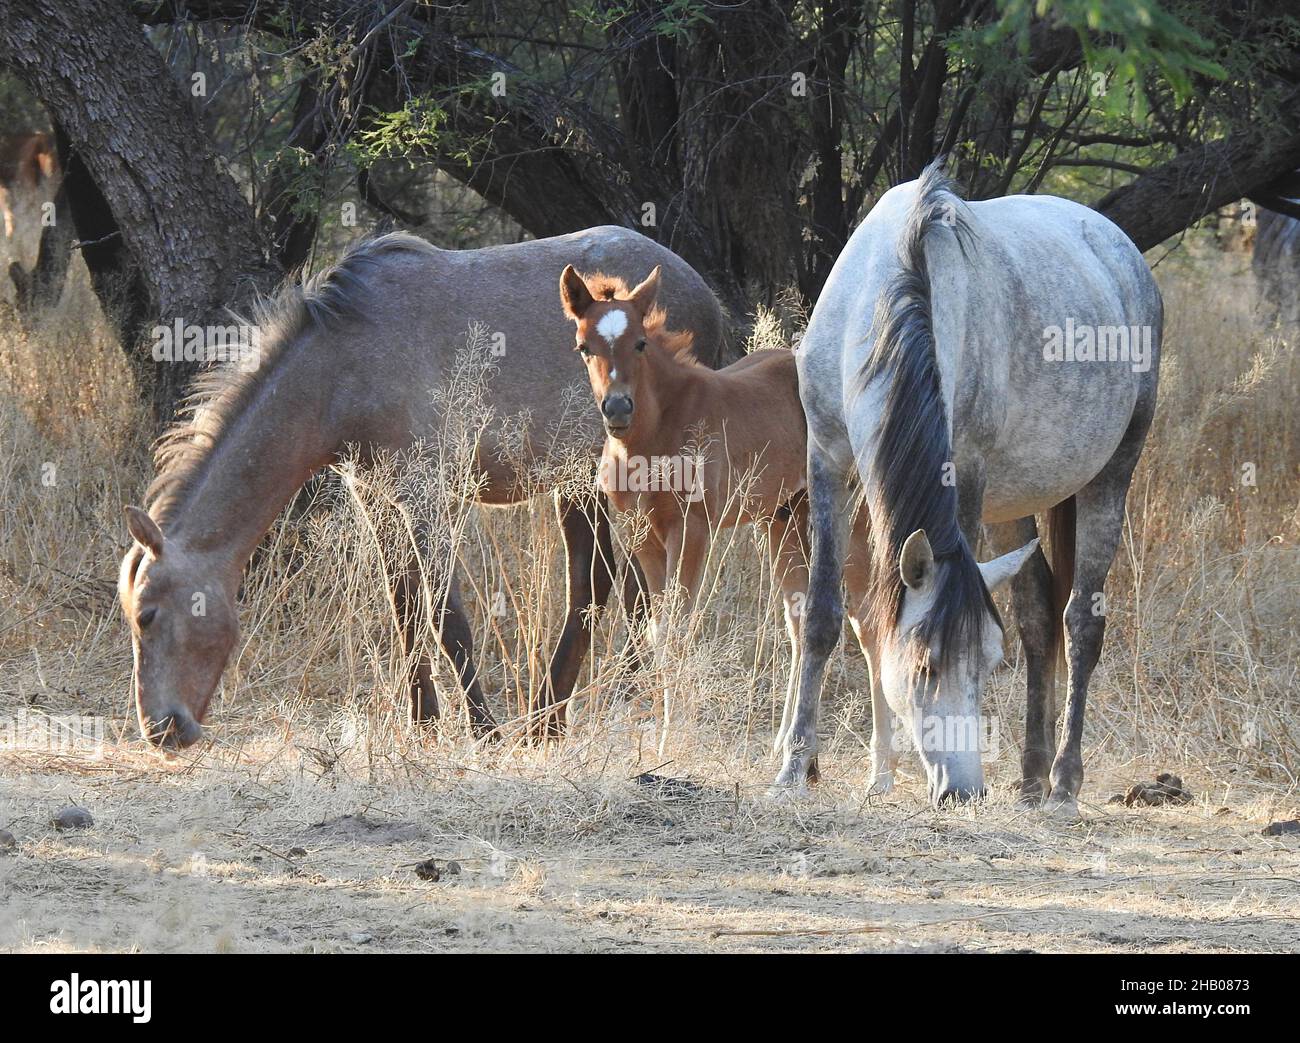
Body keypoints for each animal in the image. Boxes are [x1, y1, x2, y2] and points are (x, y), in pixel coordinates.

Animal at [118, 228, 723, 748]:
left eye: (147, 615)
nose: (160, 730)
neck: (344, 366)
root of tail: (703, 292)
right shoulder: (378, 500)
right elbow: (405, 611)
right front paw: (424, 725)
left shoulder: (427, 499)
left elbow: (446, 619)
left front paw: (482, 730)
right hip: (582, 485)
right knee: (615, 586)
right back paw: (586, 710)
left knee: (617, 584)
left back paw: (570, 714)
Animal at [558, 264, 872, 757]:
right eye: (584, 346)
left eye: (640, 343)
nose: (618, 408)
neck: (658, 432)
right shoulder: (642, 536)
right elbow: (658, 631)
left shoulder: (692, 530)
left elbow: (679, 629)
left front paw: (674, 736)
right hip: (782, 517)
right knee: (799, 615)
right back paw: (784, 741)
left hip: (840, 507)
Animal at [775, 160, 1161, 814]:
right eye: (925, 667)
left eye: (985, 666)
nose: (962, 791)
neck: (890, 308)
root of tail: (1122, 250)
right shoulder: (824, 461)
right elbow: (823, 614)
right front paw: (793, 769)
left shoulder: (969, 478)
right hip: (1018, 502)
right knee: (1038, 613)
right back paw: (1030, 779)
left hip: (1112, 474)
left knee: (1081, 623)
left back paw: (1063, 783)